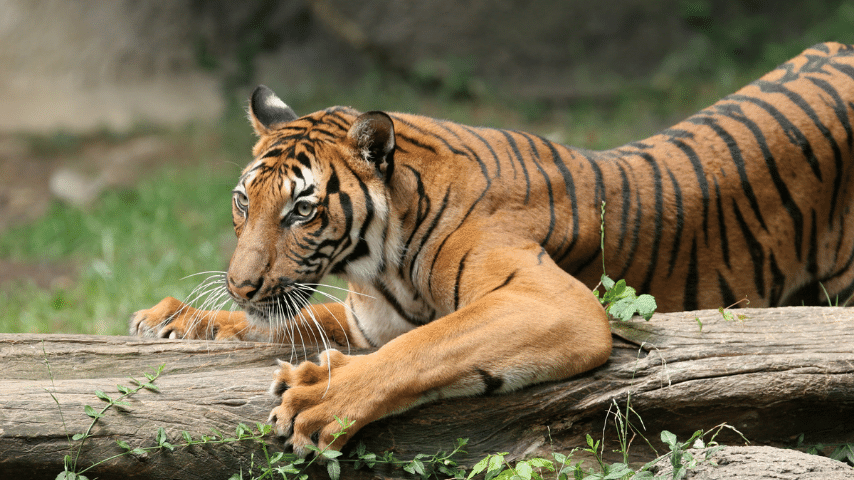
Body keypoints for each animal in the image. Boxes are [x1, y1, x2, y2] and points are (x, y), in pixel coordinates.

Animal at [131, 42, 854, 455]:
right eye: (243, 202)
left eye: (301, 210)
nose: (241, 285)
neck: (377, 260)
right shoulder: (366, 317)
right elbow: (299, 321)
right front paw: (178, 319)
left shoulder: (549, 300)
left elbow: (426, 347)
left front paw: (318, 400)